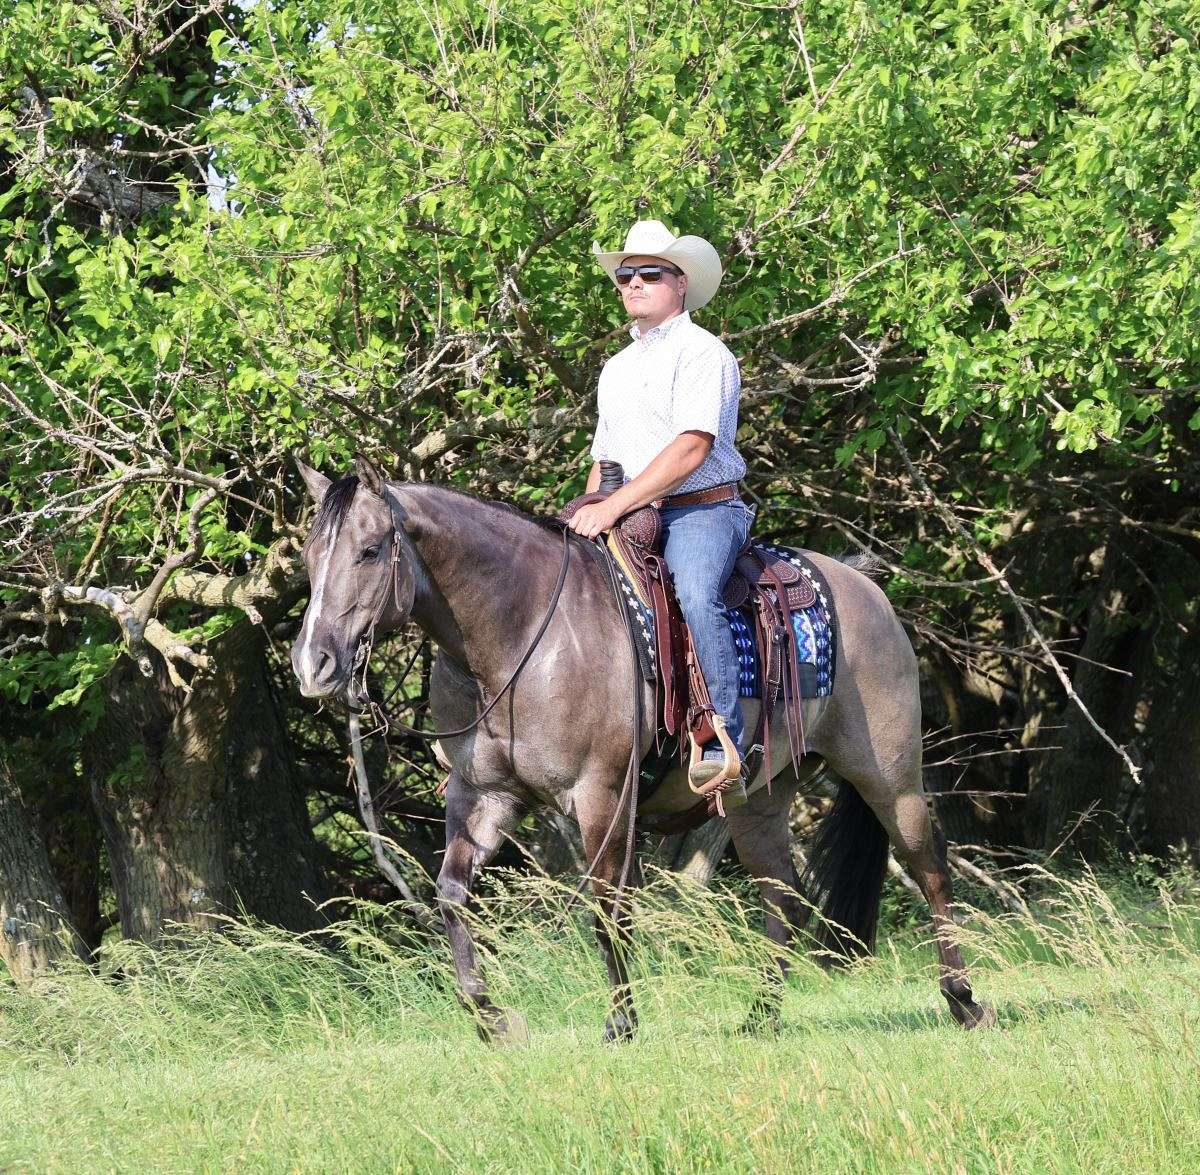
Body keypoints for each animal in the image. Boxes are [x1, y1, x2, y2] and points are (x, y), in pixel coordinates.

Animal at [290, 455, 994, 1041]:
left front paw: (621, 1023)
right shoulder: (484, 795)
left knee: (928, 865)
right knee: (783, 894)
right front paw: (493, 1020)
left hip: (889, 775)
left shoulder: (602, 795)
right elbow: (451, 894)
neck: (520, 633)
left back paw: (963, 1000)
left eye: (371, 551)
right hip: (759, 799)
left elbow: (607, 906)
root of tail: (864, 588)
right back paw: (760, 1017)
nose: (312, 664)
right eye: (308, 559)